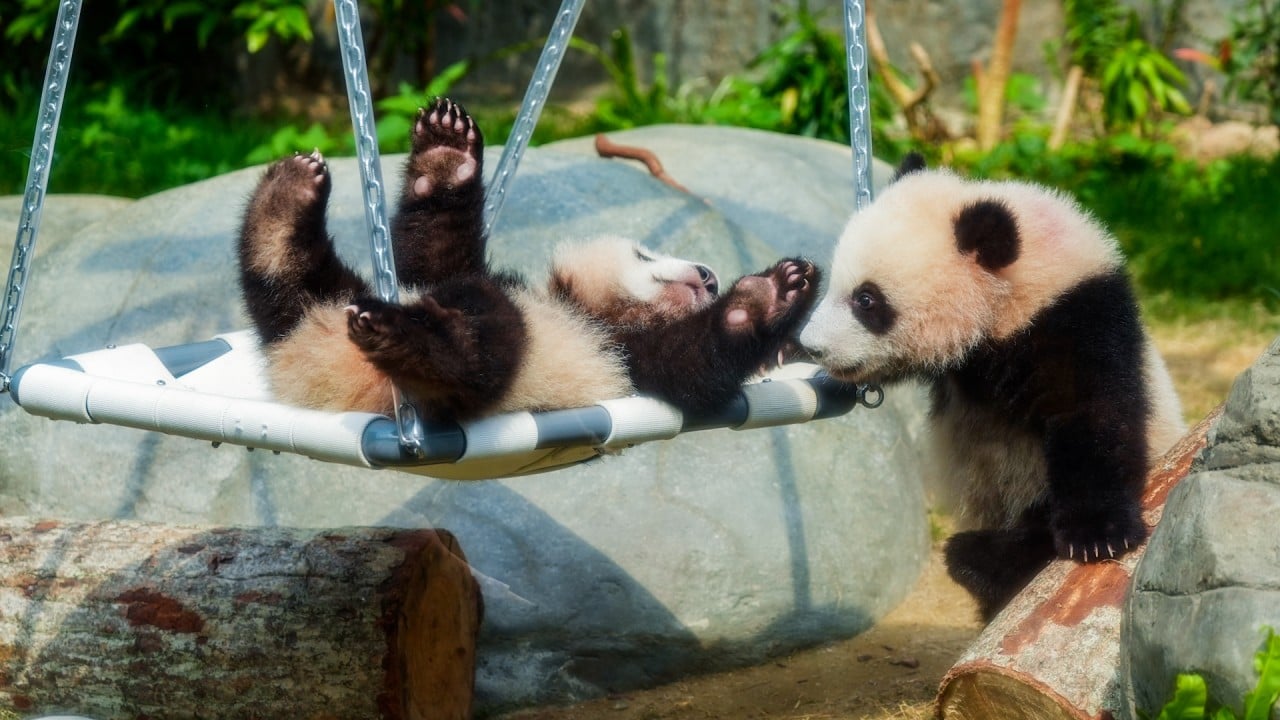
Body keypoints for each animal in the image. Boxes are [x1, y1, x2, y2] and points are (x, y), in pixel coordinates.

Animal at [237, 98, 818, 424]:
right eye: (644, 251)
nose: (709, 277)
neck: (597, 313)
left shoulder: (626, 363)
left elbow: (692, 363)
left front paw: (766, 297)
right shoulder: (479, 275)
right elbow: (433, 258)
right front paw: (445, 153)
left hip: (487, 376)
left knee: (486, 344)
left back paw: (407, 337)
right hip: (327, 306)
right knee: (293, 287)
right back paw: (281, 205)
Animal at [799, 154, 1186, 621]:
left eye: (867, 300)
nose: (811, 346)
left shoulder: (1076, 320)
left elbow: (1093, 412)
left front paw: (1097, 535)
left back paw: (979, 559)